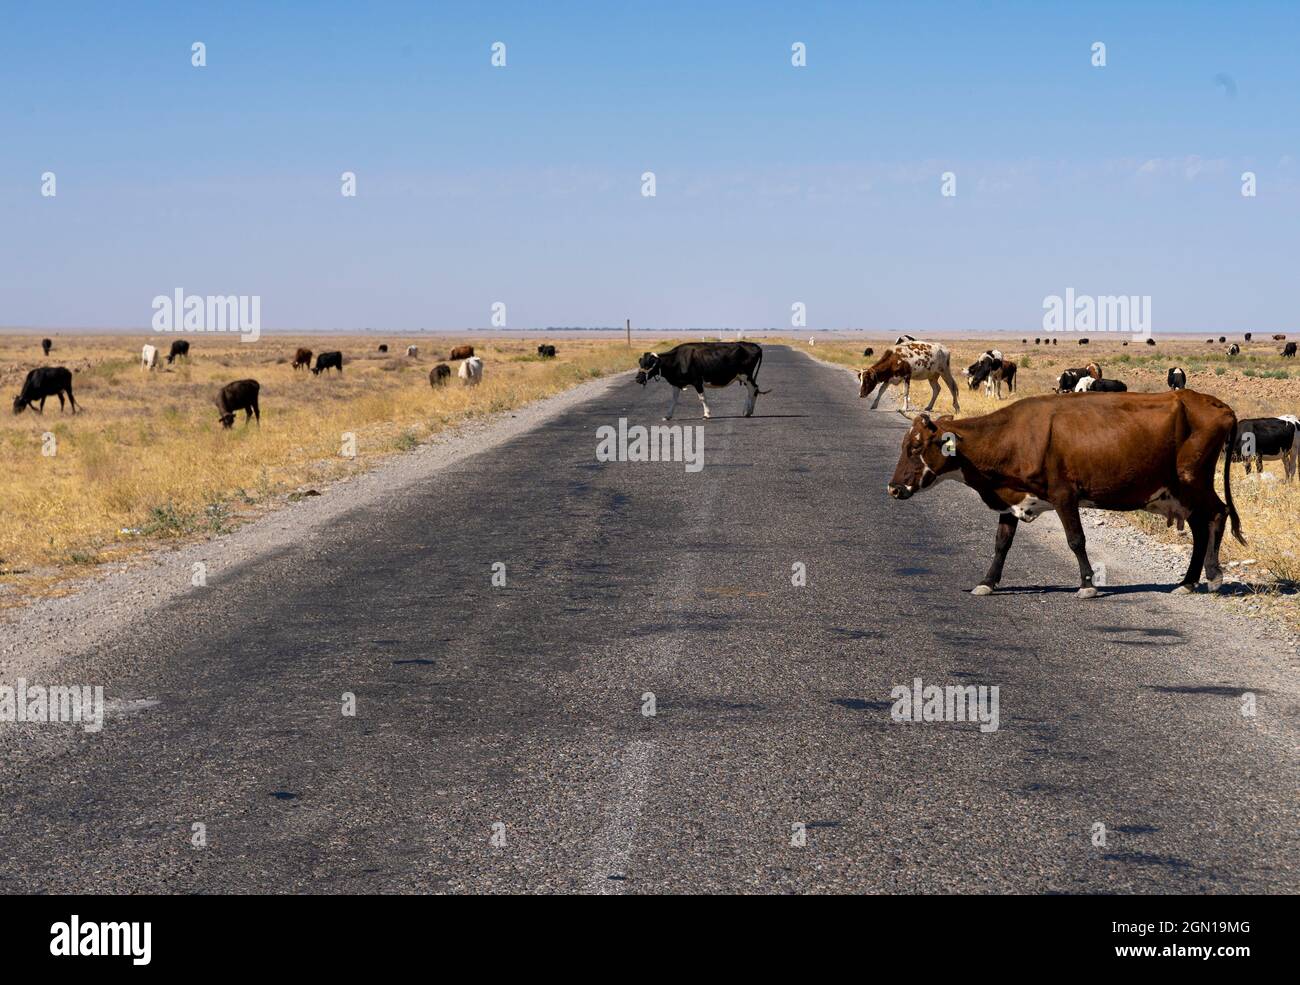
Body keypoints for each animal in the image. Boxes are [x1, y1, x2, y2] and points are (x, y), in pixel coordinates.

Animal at [636, 342, 768, 419]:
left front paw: (706, 414)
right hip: (744, 377)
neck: (677, 359)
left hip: (746, 375)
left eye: (648, 364)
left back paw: (748, 412)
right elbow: (674, 400)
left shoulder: (697, 381)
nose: (637, 378)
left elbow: (702, 398)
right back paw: (747, 411)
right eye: (640, 363)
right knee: (753, 390)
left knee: (753, 389)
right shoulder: (677, 382)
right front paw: (668, 416)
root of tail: (755, 345)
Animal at [887, 390, 1244, 598]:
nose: (893, 488)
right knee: (1201, 526)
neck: (1014, 436)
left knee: (1217, 514)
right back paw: (1188, 581)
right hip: (1182, 492)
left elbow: (1076, 540)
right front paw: (987, 581)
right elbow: (1001, 543)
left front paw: (1087, 584)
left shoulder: (1064, 495)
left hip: (1192, 481)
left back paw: (1213, 576)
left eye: (915, 447)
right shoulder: (1011, 499)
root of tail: (1218, 405)